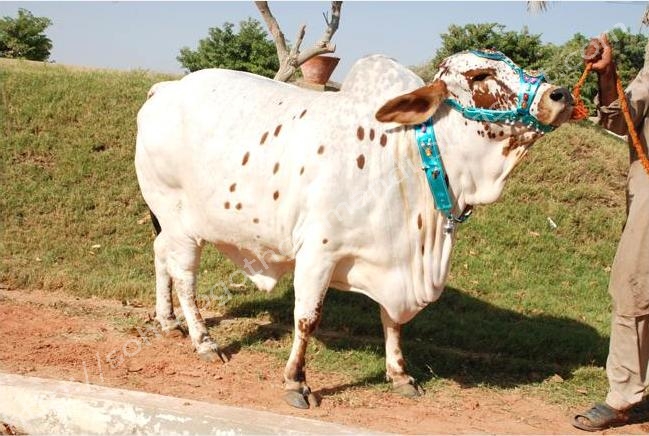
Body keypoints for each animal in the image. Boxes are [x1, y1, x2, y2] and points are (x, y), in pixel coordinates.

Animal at [135, 51, 573, 409]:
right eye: (481, 74)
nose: (560, 95)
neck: (403, 156)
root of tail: (163, 89)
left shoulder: (394, 257)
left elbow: (393, 321)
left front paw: (400, 374)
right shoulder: (318, 253)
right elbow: (307, 318)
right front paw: (296, 382)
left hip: (169, 222)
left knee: (160, 255)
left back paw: (168, 321)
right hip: (178, 217)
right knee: (185, 277)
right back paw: (203, 340)